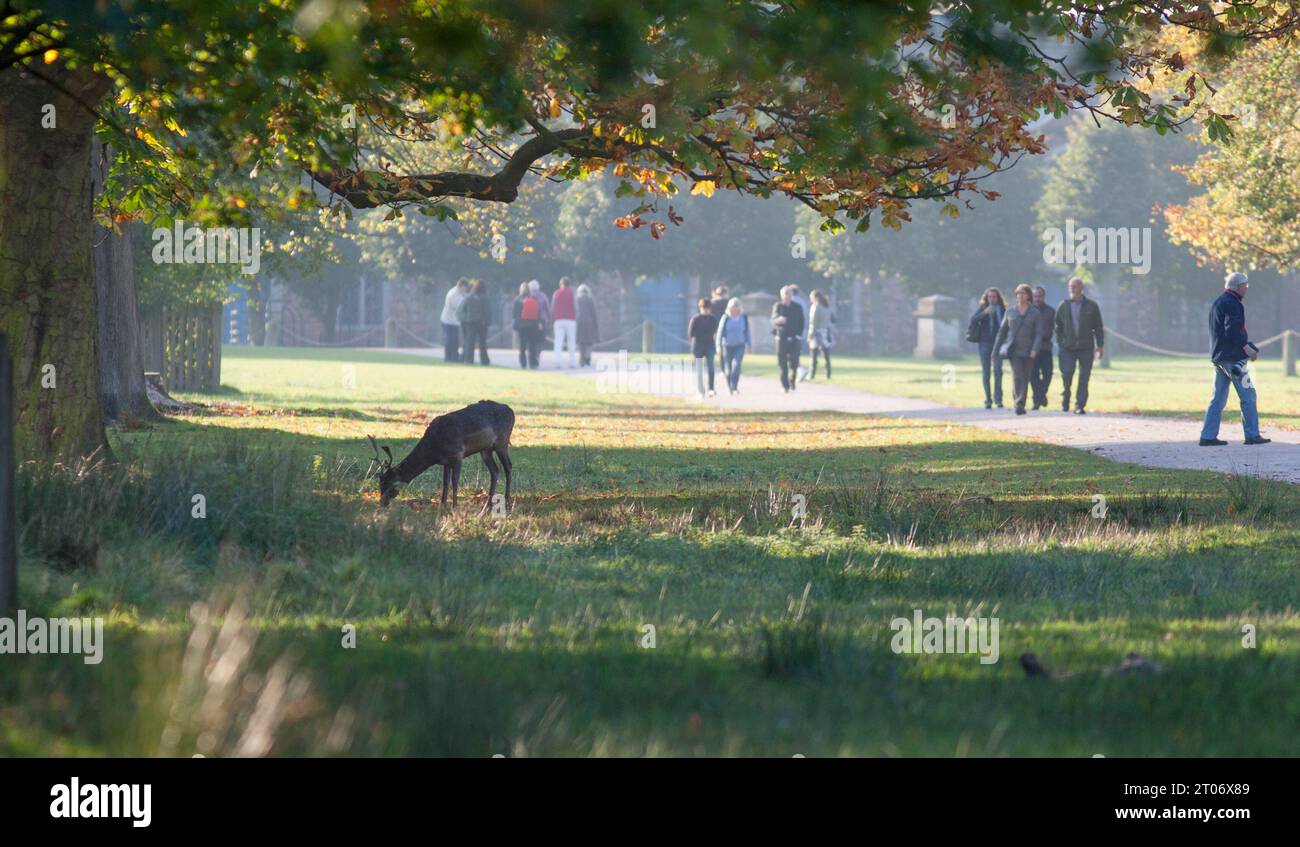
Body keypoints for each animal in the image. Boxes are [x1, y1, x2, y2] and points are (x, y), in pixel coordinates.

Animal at [367, 400, 514, 513]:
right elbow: (445, 482)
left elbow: (454, 481)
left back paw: (507, 501)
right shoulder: (446, 461)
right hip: (486, 450)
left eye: (387, 483)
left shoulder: (457, 454)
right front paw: (442, 505)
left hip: (502, 441)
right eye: (380, 483)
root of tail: (511, 410)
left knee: (508, 467)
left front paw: (454, 507)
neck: (434, 449)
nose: (382, 503)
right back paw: (488, 505)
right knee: (495, 470)